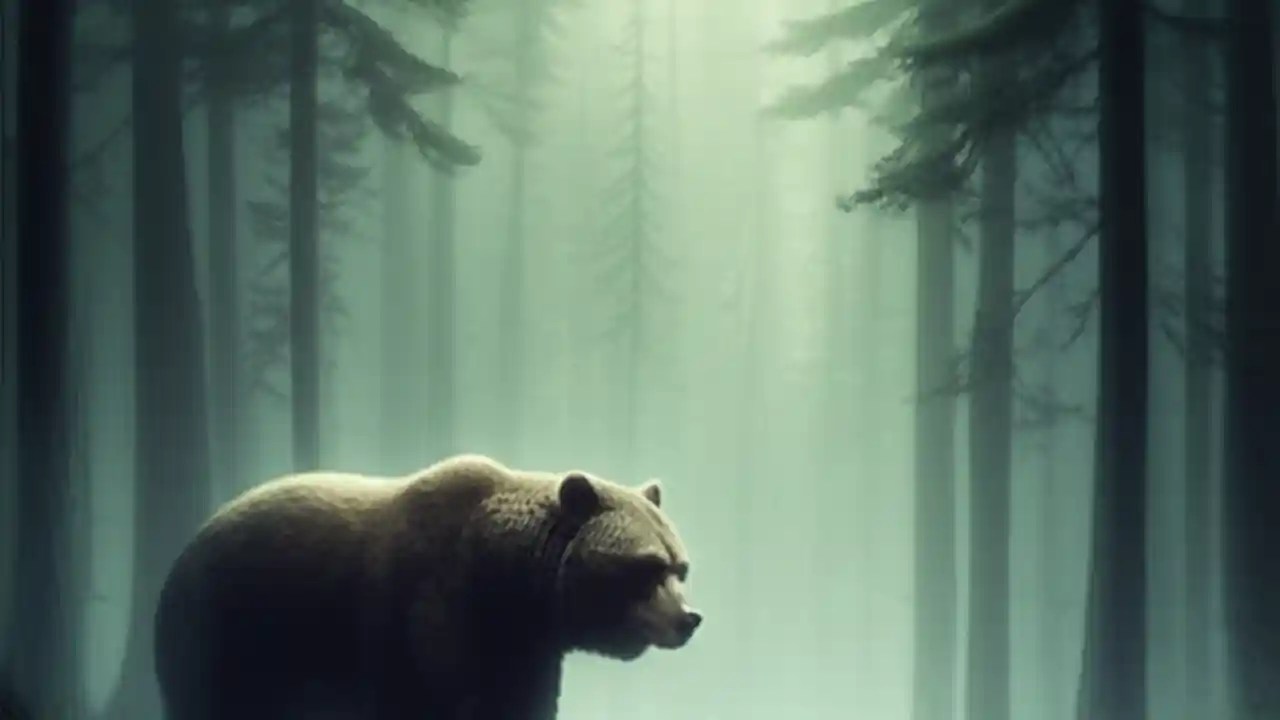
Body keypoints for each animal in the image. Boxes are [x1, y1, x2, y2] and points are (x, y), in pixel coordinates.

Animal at [152, 453, 701, 720]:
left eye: (681, 568)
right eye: (648, 567)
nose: (689, 619)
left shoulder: (523, 651)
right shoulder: (422, 616)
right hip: (229, 631)